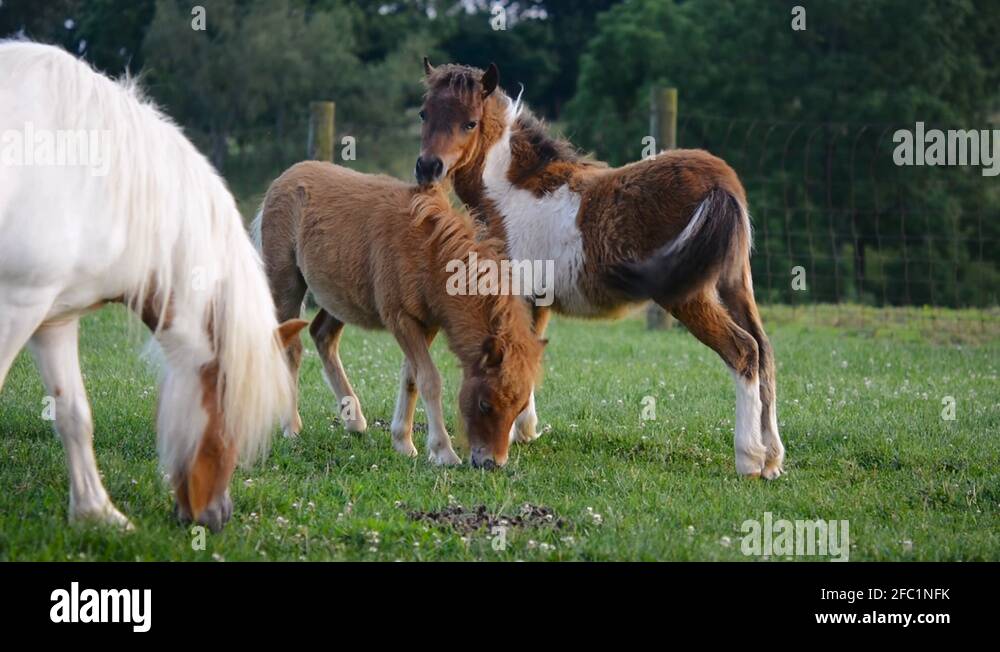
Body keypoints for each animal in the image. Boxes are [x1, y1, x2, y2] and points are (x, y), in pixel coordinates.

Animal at [0, 41, 307, 531]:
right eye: (230, 418)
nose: (216, 516)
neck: (86, 181)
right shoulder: (16, 307)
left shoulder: (52, 320)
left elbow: (74, 414)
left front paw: (97, 513)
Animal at [252, 161, 544, 468]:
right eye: (485, 404)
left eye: (520, 408)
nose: (492, 463)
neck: (429, 252)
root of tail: (284, 178)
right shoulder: (400, 319)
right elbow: (429, 380)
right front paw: (443, 451)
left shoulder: (427, 324)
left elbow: (411, 378)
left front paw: (403, 442)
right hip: (285, 283)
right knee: (291, 347)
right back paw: (291, 426)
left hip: (340, 295)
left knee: (322, 336)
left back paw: (354, 420)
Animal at [414, 60, 785, 479]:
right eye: (424, 113)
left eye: (470, 122)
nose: (428, 167)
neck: (509, 193)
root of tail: (721, 183)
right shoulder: (538, 298)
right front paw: (526, 431)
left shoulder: (517, 292)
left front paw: (510, 435)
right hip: (734, 284)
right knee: (765, 350)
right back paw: (773, 459)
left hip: (688, 295)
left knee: (744, 351)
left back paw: (749, 458)